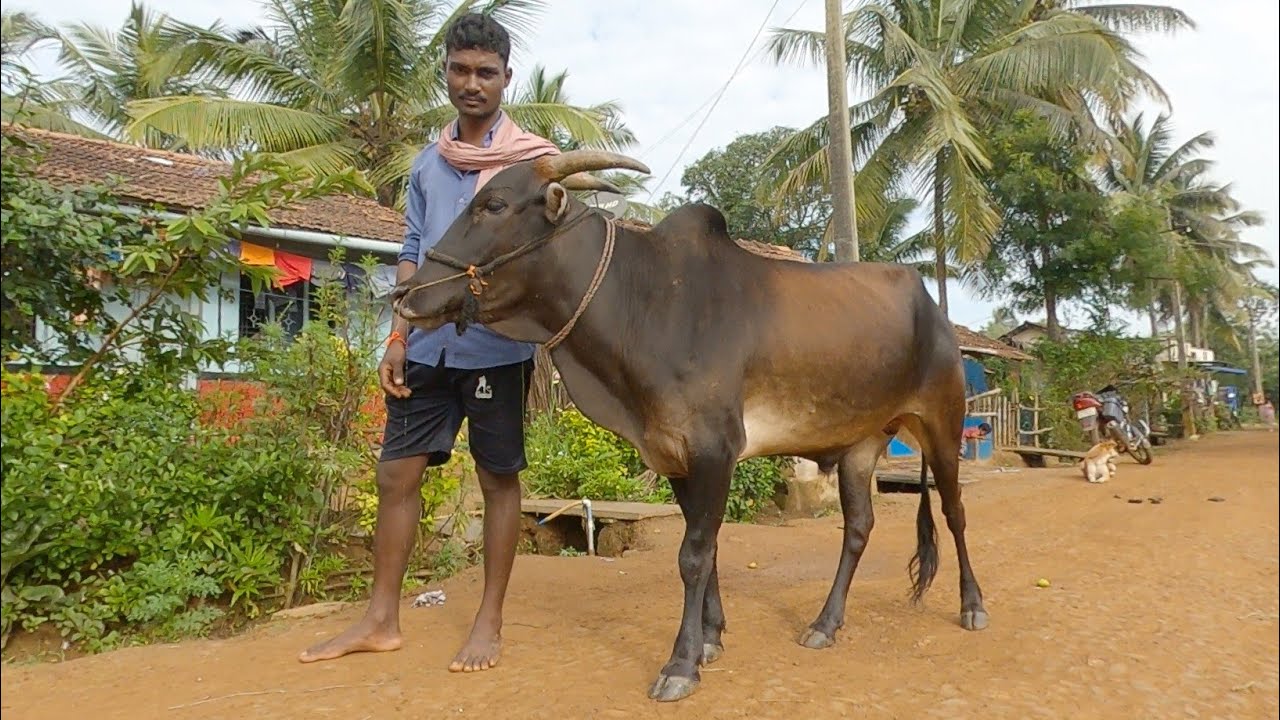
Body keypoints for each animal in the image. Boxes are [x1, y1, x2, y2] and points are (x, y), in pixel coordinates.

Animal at [389, 149, 989, 703]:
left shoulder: (713, 449)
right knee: (859, 527)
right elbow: (710, 548)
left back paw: (973, 605)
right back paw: (824, 623)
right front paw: (711, 638)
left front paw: (681, 664)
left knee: (955, 513)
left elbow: (694, 554)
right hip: (861, 445)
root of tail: (930, 305)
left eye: (494, 205)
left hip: (942, 424)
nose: (405, 295)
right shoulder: (674, 453)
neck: (645, 302)